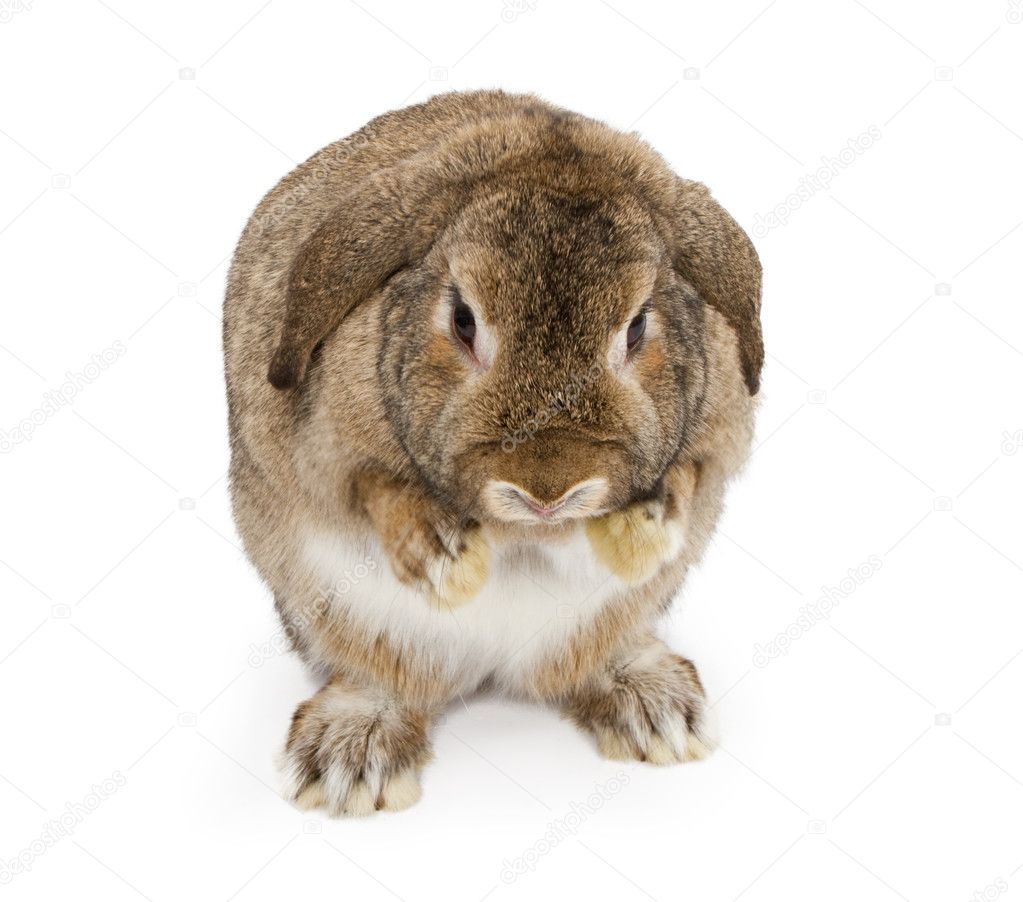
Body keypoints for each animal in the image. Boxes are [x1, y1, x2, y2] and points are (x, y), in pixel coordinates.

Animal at [223, 89, 762, 816]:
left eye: (637, 327)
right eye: (462, 319)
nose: (547, 489)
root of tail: (492, 670)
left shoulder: (718, 436)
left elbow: (689, 471)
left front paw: (648, 531)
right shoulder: (330, 453)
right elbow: (372, 488)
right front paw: (441, 558)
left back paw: (656, 711)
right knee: (384, 677)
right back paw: (349, 760)